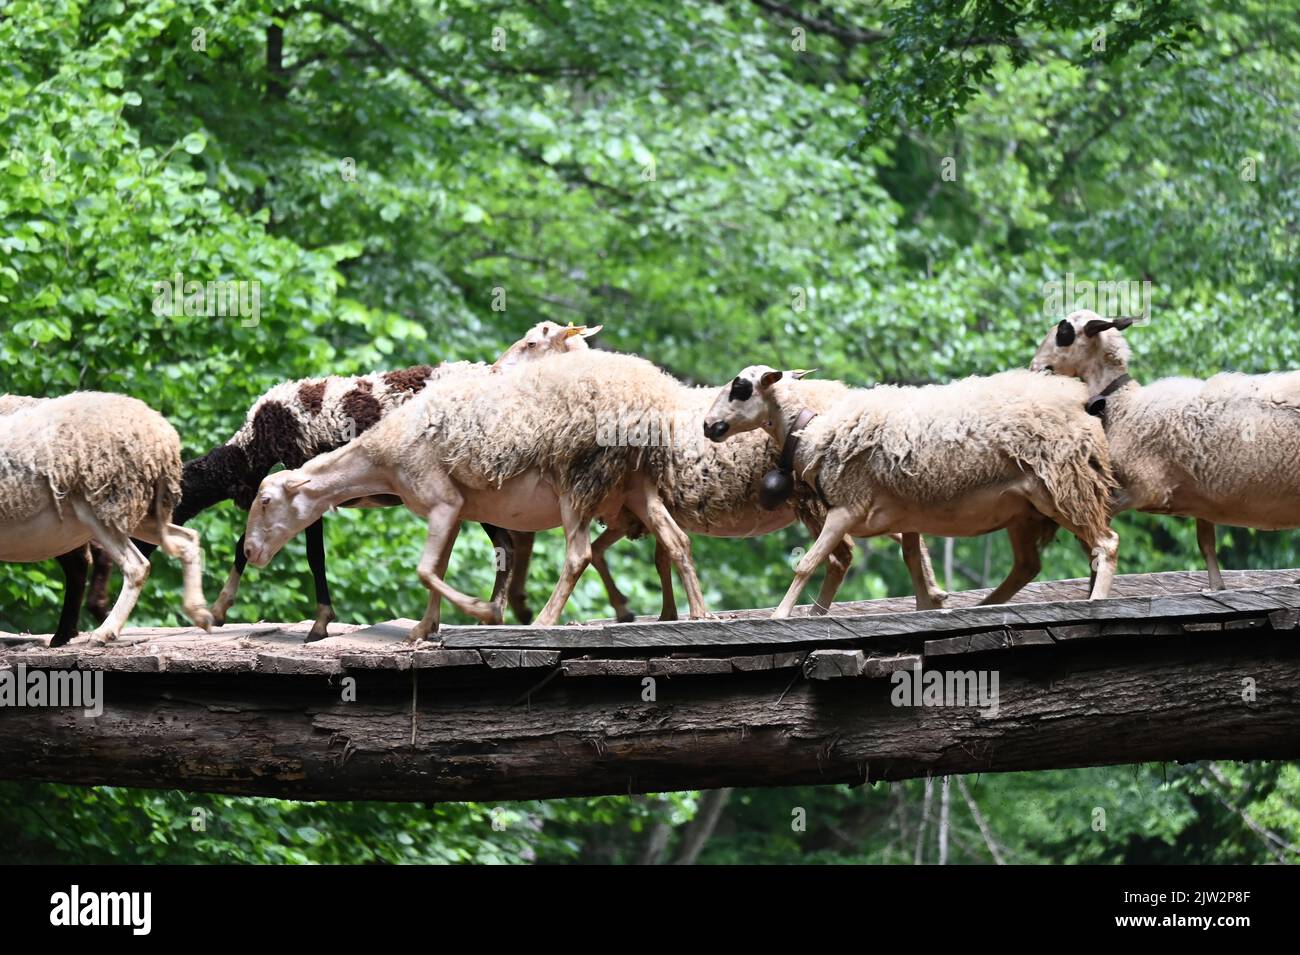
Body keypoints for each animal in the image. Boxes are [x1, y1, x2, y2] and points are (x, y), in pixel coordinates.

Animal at [0, 392, 212, 644]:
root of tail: (163, 437)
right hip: (139, 511)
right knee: (186, 539)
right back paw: (200, 613)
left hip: (104, 504)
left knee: (136, 567)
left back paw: (103, 631)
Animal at [243, 349, 713, 639]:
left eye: (265, 502)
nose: (249, 552)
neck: (381, 456)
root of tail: (653, 400)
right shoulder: (453, 510)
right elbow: (436, 569)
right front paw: (424, 629)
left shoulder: (440, 499)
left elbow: (425, 571)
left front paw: (483, 611)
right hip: (636, 484)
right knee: (676, 540)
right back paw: (699, 613)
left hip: (579, 478)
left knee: (579, 555)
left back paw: (544, 620)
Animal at [702, 366, 1120, 617]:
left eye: (740, 388)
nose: (708, 426)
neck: (813, 429)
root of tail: (1081, 402)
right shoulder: (907, 517)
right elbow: (914, 565)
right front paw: (924, 609)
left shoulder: (847, 508)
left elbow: (806, 563)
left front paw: (781, 614)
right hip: (1027, 508)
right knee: (1027, 565)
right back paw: (983, 606)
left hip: (1066, 487)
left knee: (1107, 544)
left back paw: (1097, 603)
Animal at [1031, 308, 1300, 590]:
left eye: (1064, 332)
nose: (1035, 366)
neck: (1125, 405)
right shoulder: (1203, 498)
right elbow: (1206, 545)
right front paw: (1216, 587)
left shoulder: (1146, 488)